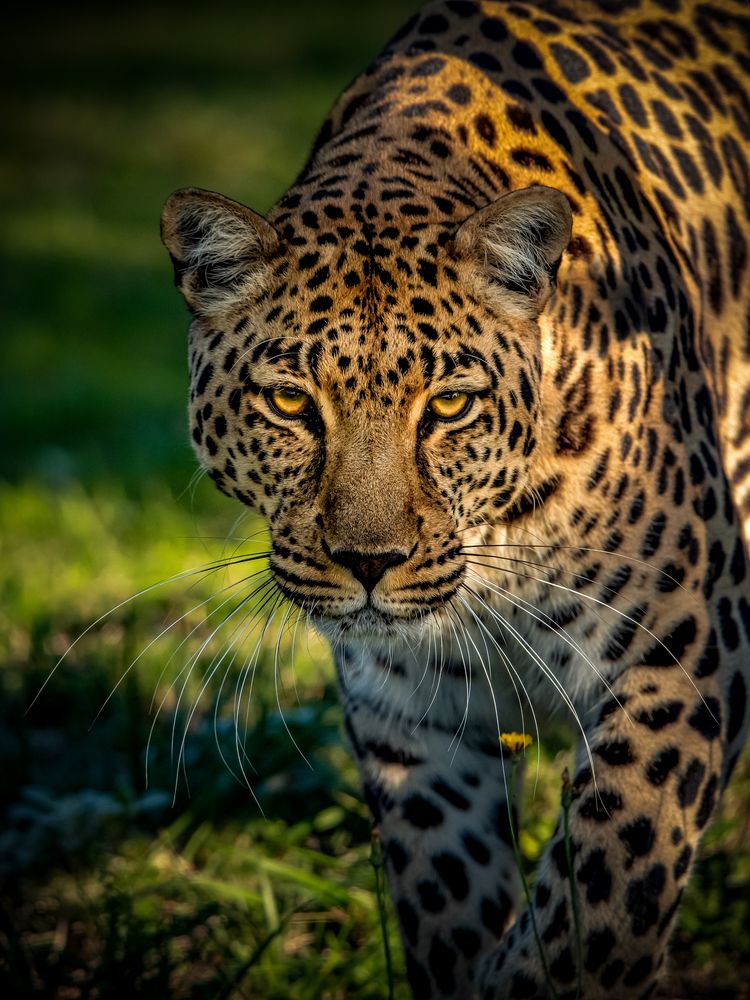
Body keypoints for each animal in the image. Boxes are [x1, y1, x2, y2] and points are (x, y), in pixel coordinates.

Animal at [160, 1, 750, 996]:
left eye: (448, 407)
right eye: (291, 404)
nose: (368, 564)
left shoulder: (684, 655)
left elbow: (599, 897)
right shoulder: (411, 716)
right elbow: (452, 893)